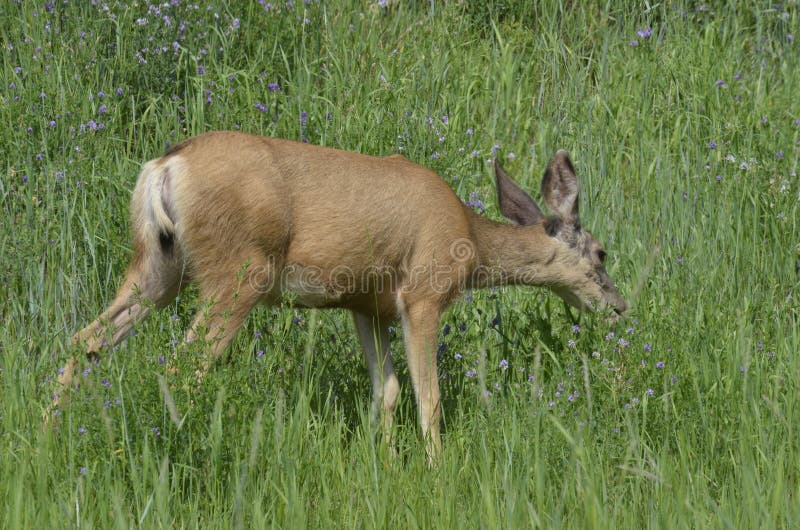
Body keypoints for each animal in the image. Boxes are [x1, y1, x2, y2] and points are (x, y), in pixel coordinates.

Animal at [59, 131, 627, 460]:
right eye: (602, 252)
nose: (620, 307)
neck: (468, 235)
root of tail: (165, 166)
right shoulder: (422, 295)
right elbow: (428, 396)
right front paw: (437, 469)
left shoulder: (365, 305)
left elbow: (387, 390)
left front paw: (385, 464)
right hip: (237, 273)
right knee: (182, 364)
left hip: (159, 266)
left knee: (86, 339)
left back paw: (49, 434)